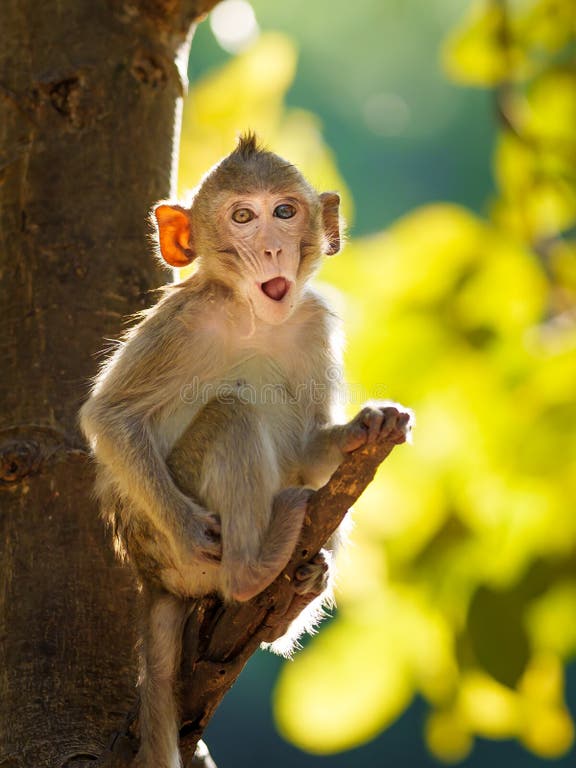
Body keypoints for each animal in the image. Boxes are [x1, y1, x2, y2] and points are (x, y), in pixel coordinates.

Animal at [79, 134, 411, 768]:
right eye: (242, 217)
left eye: (284, 211)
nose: (272, 247)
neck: (254, 316)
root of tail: (151, 579)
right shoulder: (182, 321)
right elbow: (108, 418)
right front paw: (191, 527)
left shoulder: (313, 324)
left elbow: (310, 451)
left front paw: (365, 426)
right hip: (171, 550)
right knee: (233, 415)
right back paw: (251, 570)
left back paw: (294, 595)